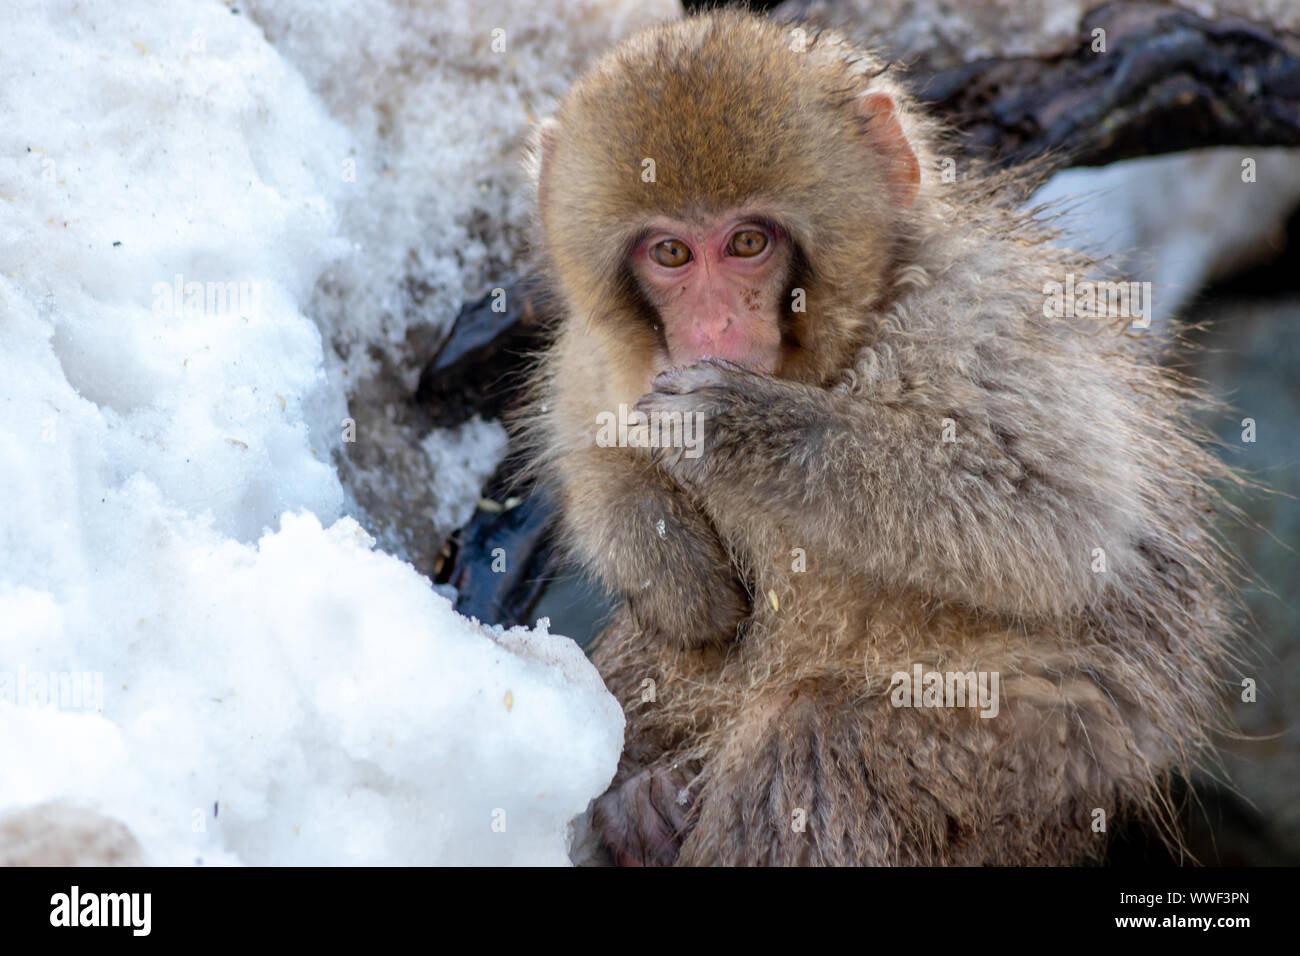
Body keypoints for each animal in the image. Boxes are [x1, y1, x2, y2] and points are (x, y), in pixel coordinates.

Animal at [520, 10, 1241, 866]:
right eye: (670, 253)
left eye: (748, 243)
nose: (714, 327)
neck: (836, 351)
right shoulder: (616, 356)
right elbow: (587, 426)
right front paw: (666, 564)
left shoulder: (973, 315)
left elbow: (1062, 524)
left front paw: (742, 429)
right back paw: (639, 802)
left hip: (1039, 754)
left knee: (806, 740)